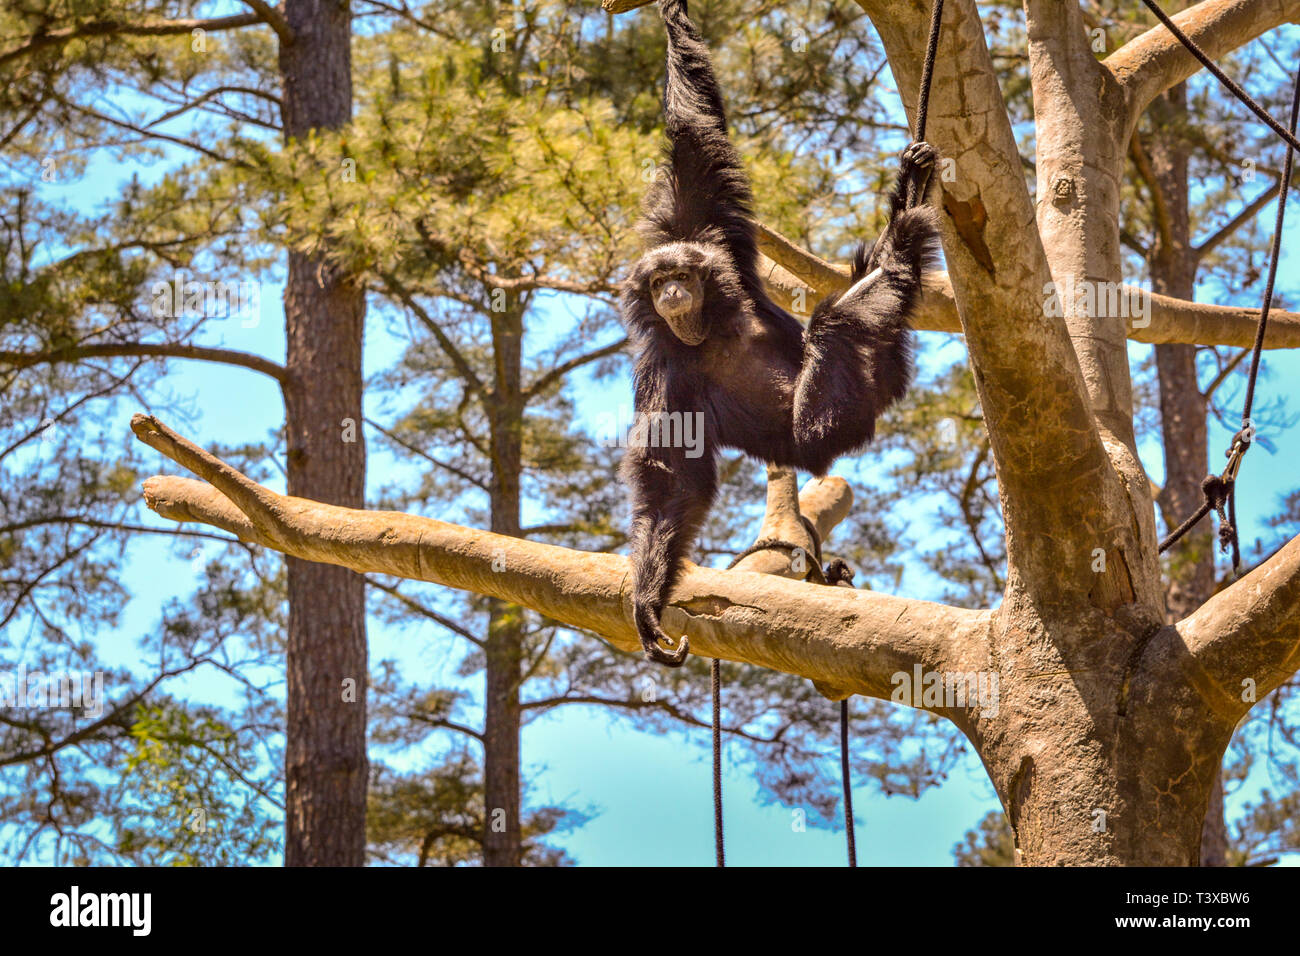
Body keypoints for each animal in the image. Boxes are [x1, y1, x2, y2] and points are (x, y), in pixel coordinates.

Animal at [621, 0, 940, 666]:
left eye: (681, 275)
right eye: (660, 281)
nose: (670, 292)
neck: (709, 326)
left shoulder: (707, 234)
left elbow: (695, 139)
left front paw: (672, 19)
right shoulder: (659, 363)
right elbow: (671, 474)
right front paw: (648, 602)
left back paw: (898, 224)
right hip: (825, 423)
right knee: (835, 328)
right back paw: (898, 253)